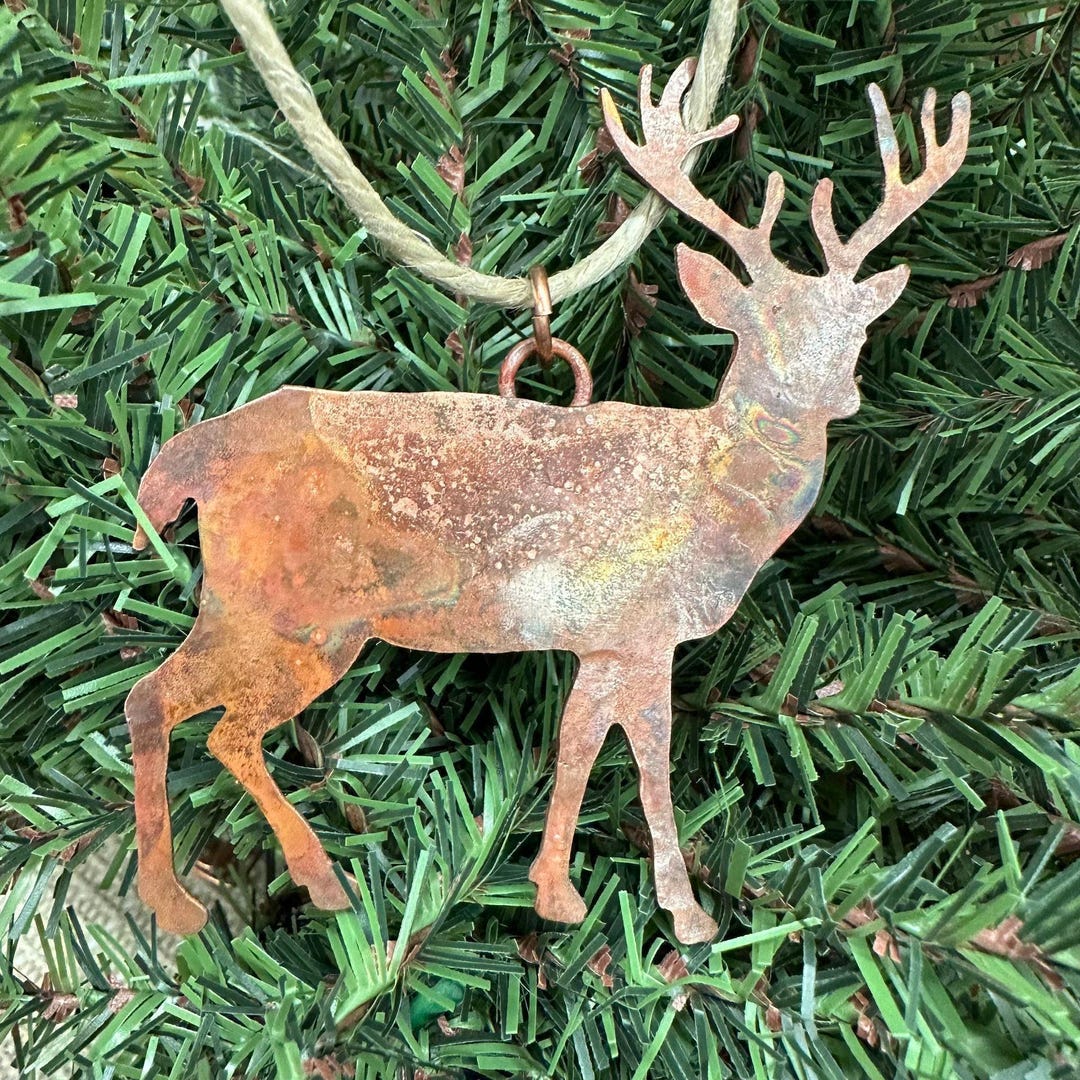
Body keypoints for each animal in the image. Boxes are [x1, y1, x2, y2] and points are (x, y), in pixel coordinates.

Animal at [124, 60, 969, 943]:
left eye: (857, 331)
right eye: (762, 323)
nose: (840, 392)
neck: (709, 501)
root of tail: (189, 457)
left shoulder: (605, 641)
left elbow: (580, 747)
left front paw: (560, 891)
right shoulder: (637, 626)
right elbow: (645, 758)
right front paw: (682, 914)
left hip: (259, 609)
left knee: (159, 703)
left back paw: (191, 896)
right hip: (297, 613)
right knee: (212, 723)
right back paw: (300, 885)